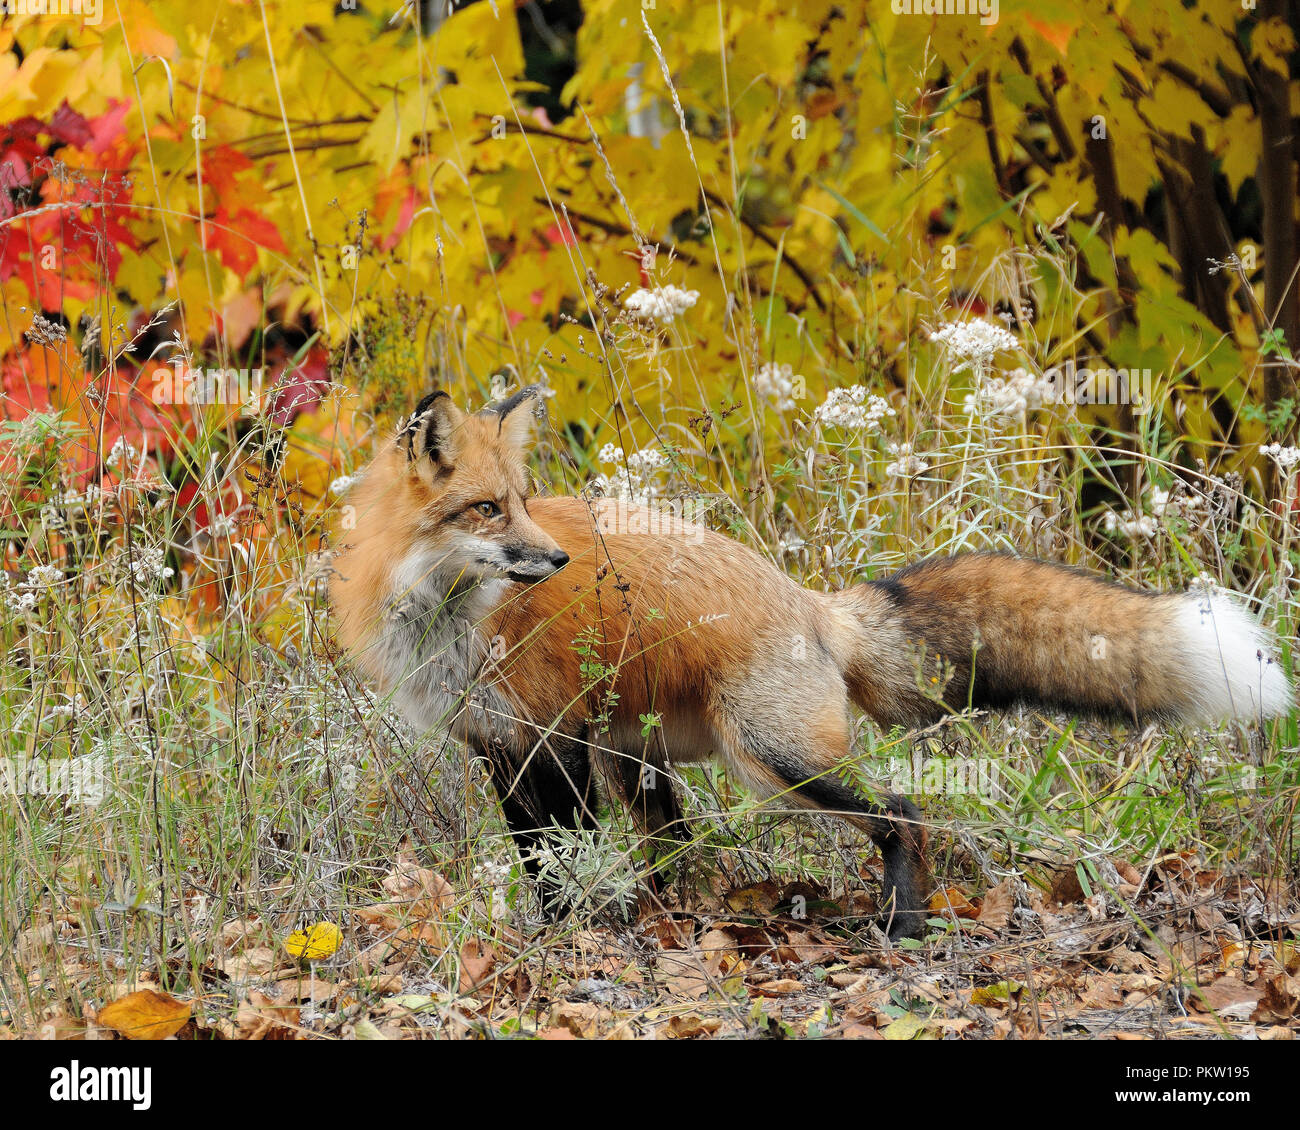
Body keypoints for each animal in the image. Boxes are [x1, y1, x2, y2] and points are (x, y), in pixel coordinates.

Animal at [329, 386, 1293, 939]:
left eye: (522, 503)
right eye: (488, 509)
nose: (559, 560)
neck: (446, 619)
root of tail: (813, 604)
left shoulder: (555, 737)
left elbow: (567, 856)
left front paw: (578, 934)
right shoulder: (496, 743)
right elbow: (538, 859)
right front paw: (558, 930)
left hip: (770, 758)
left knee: (903, 810)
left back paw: (904, 925)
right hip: (641, 761)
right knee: (680, 849)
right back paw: (675, 917)